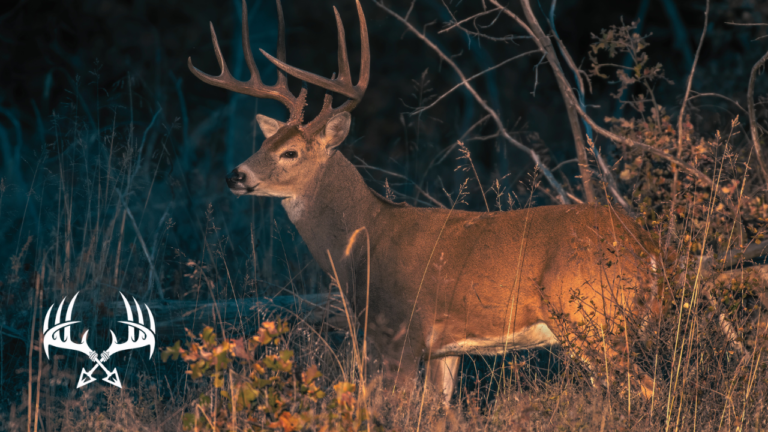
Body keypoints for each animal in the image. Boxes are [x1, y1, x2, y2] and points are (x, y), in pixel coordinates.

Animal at [189, 0, 661, 403]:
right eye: (264, 142)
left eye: (291, 153)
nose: (235, 175)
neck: (363, 240)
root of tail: (647, 247)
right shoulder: (445, 348)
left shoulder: (401, 332)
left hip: (592, 319)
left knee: (645, 388)